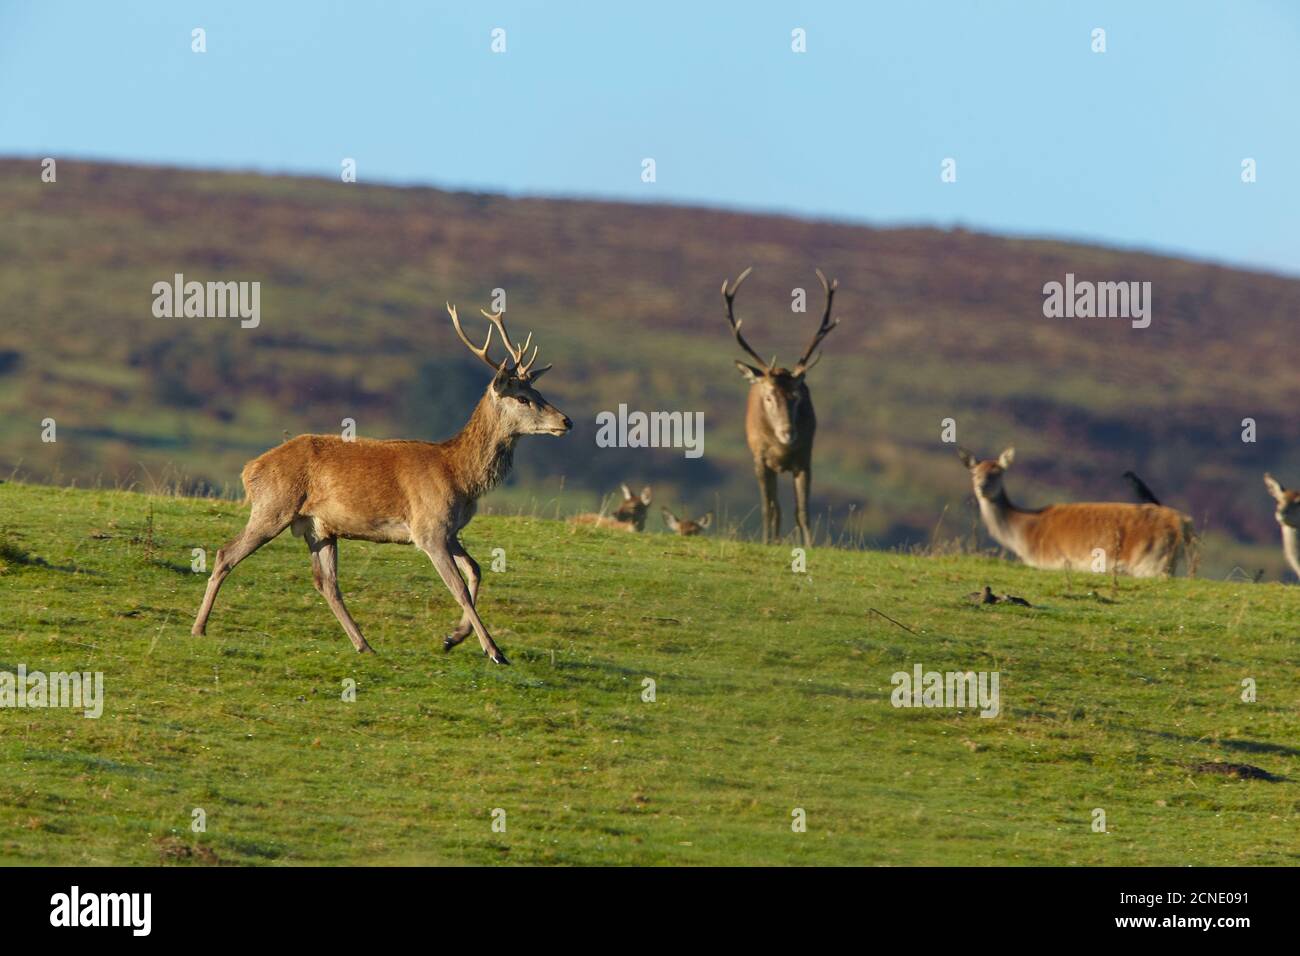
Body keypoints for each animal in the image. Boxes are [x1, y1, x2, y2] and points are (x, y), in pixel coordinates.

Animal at [190, 302, 572, 665]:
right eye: (523, 398)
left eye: (539, 391)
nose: (566, 421)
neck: (460, 476)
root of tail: (250, 468)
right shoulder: (428, 529)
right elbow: (459, 588)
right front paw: (494, 651)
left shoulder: (448, 531)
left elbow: (476, 570)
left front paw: (452, 638)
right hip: (273, 507)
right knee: (226, 554)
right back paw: (199, 628)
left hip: (318, 527)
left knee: (326, 583)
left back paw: (364, 644)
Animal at [722, 266, 841, 546]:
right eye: (768, 396)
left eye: (797, 395)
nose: (789, 432)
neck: (781, 449)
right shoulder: (760, 458)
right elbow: (768, 507)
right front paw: (766, 541)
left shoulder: (805, 458)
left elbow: (802, 510)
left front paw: (808, 545)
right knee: (775, 506)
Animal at [957, 447, 1194, 578]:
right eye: (974, 473)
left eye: (998, 472)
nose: (982, 487)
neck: (1025, 534)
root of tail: (1183, 522)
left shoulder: (1050, 562)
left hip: (1152, 561)